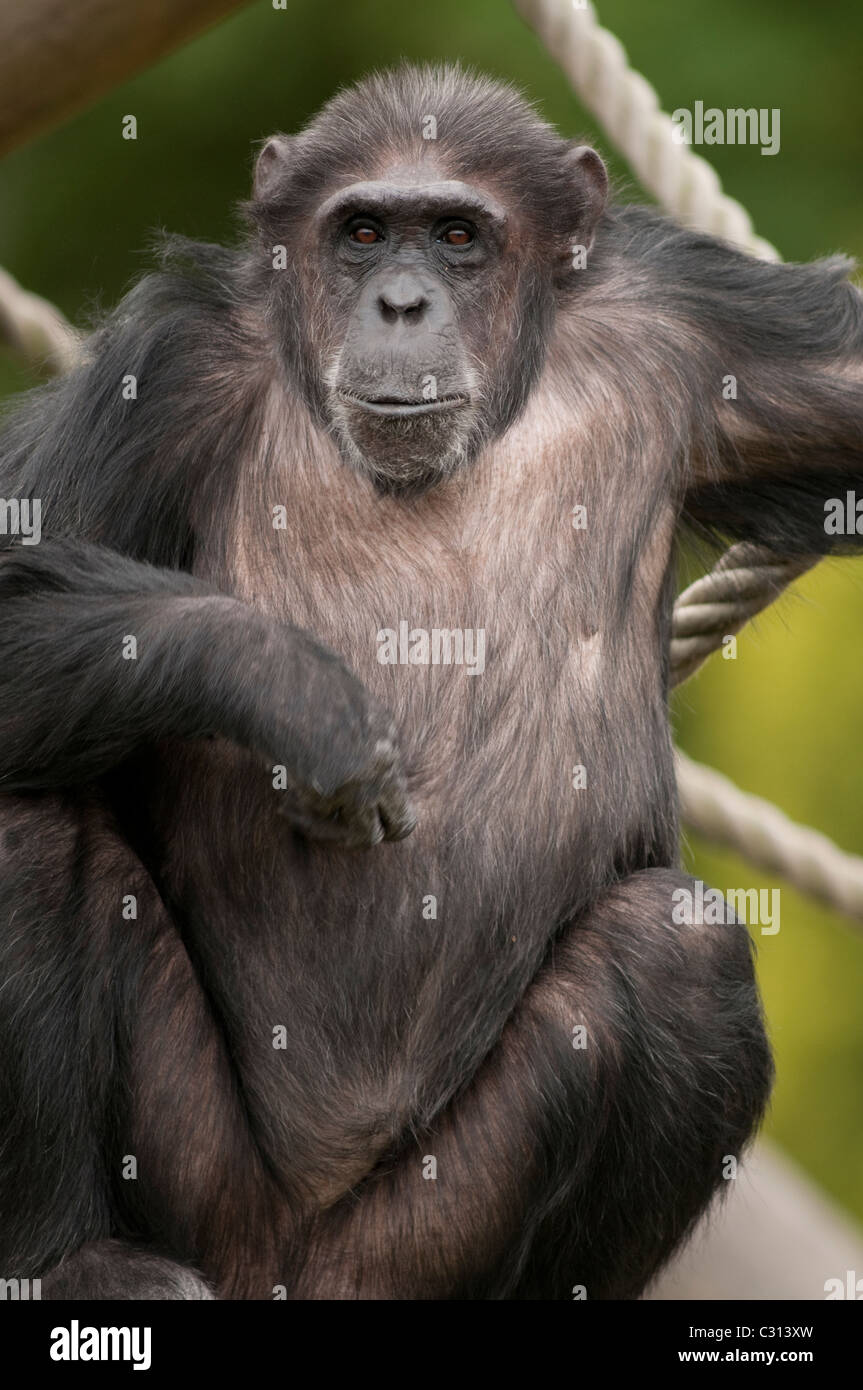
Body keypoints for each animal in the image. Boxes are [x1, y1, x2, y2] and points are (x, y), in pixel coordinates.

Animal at [1, 62, 860, 1300]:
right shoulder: (158, 370)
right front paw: (290, 691)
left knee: (678, 949)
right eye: (361, 231)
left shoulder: (721, 329)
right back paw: (74, 1262)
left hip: (423, 1240)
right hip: (191, 1182)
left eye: (457, 236)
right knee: (28, 819)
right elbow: (13, 577)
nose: (400, 302)